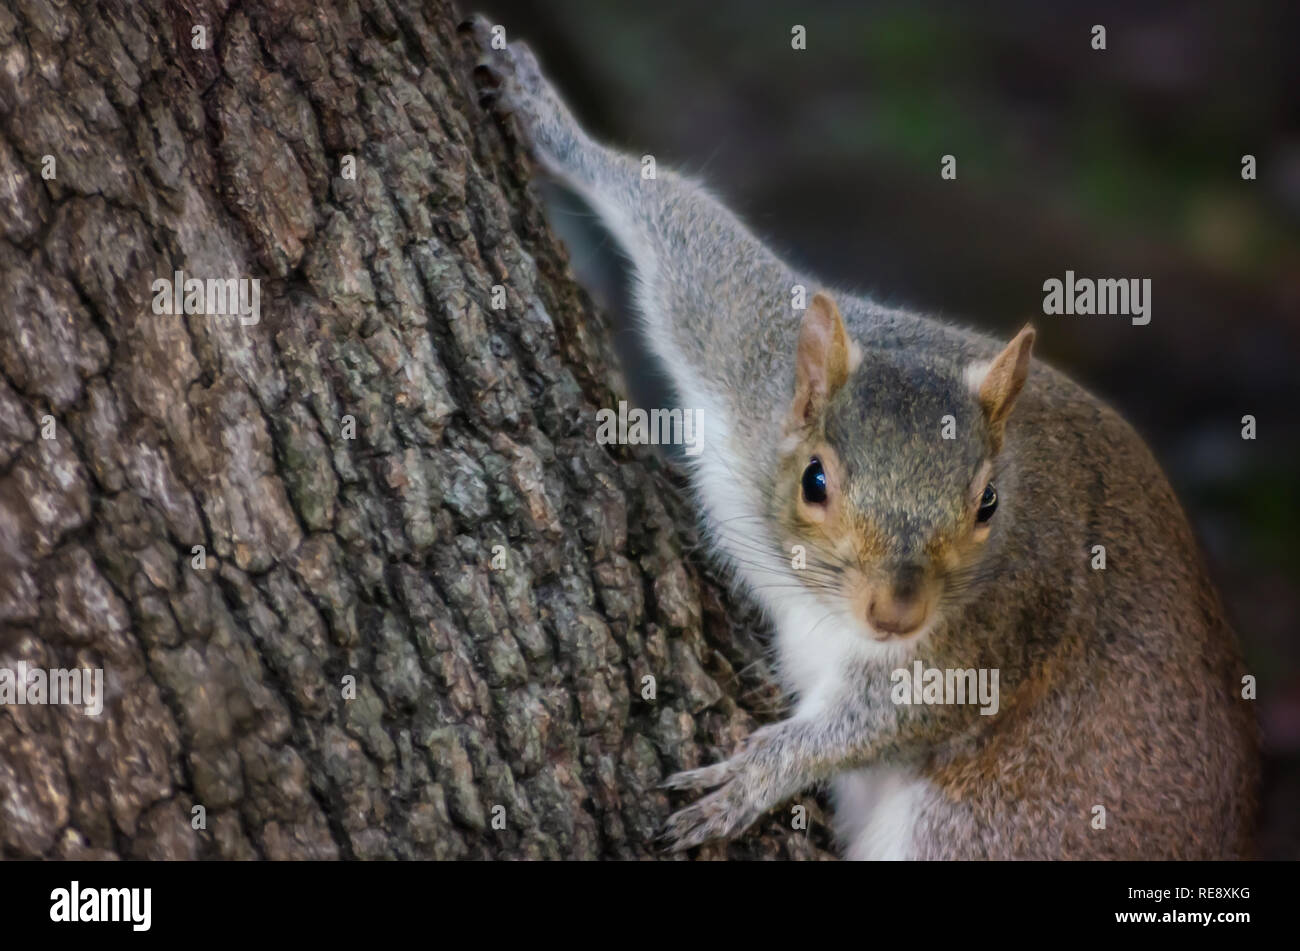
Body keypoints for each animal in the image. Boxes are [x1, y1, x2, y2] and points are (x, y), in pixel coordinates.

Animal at [466, 18, 1260, 859]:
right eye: (814, 480)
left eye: (989, 503)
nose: (896, 614)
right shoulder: (745, 348)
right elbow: (680, 225)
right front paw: (540, 110)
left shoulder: (1010, 618)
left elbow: (885, 718)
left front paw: (755, 777)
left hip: (985, 830)